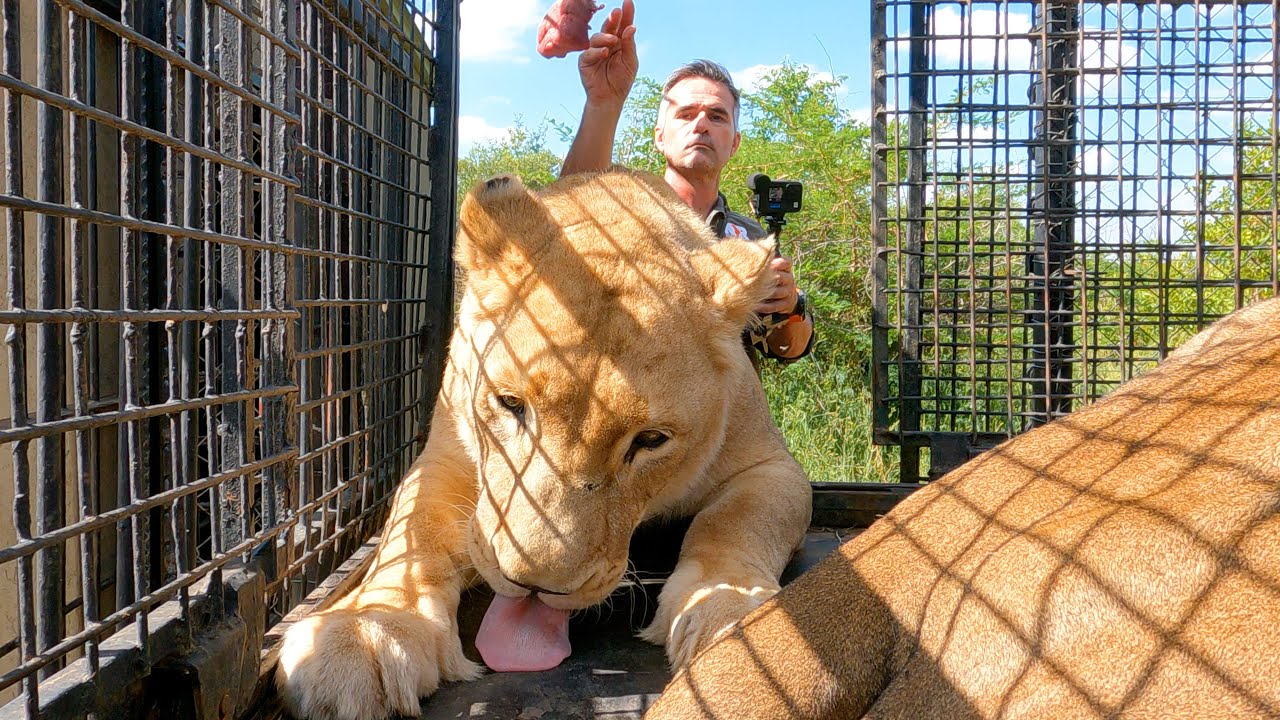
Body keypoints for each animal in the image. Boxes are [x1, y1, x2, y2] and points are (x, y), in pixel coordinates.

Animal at [274, 168, 813, 720]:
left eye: (651, 440)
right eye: (510, 403)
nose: (535, 586)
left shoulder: (772, 466)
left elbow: (736, 522)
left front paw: (741, 622)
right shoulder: (444, 458)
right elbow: (412, 530)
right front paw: (365, 630)